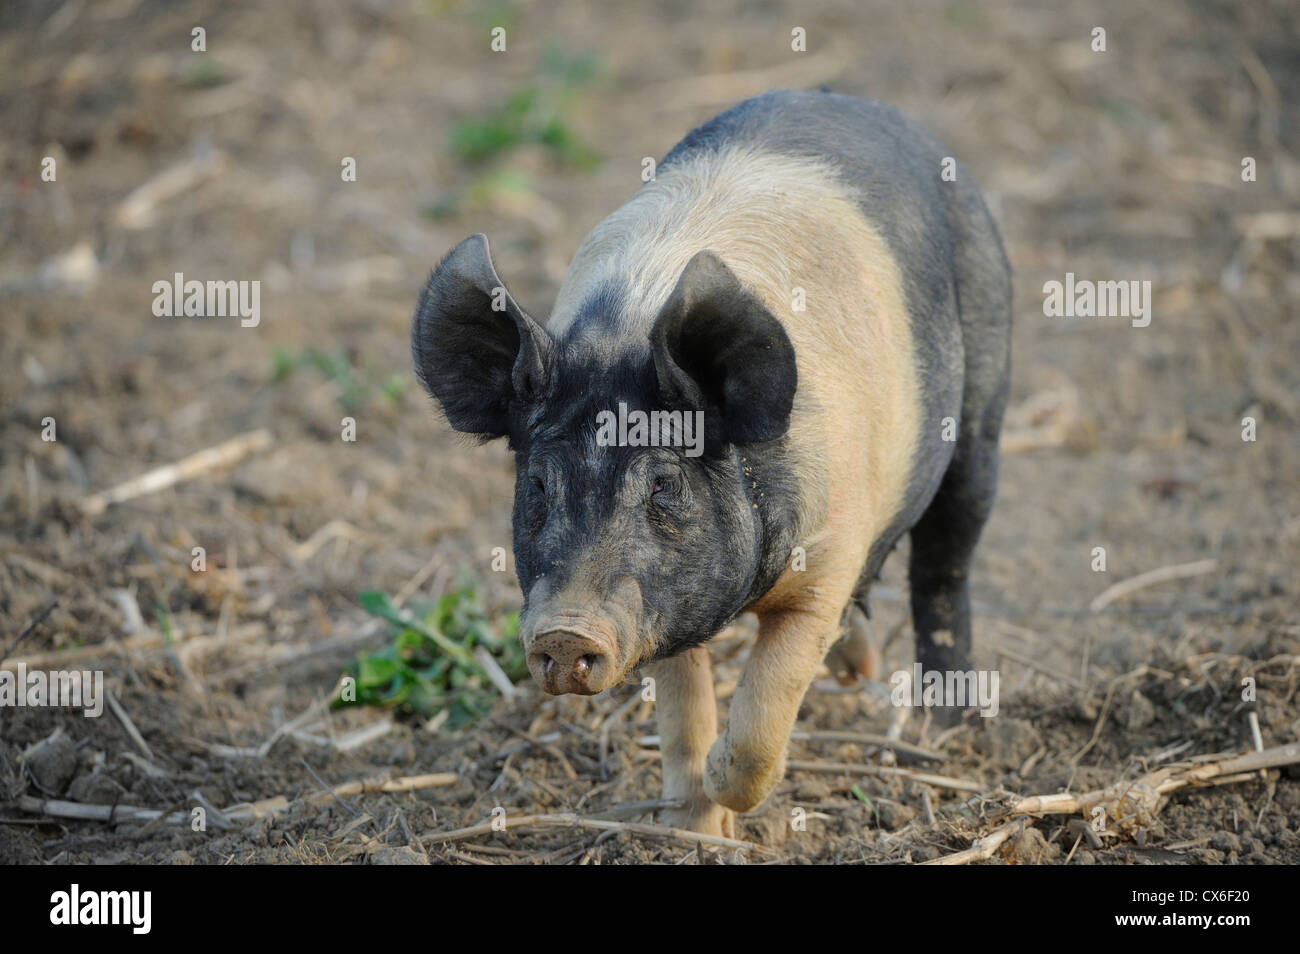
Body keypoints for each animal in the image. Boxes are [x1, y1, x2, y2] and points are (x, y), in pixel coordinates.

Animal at [412, 89, 1011, 836]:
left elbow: (772, 689)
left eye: (664, 483)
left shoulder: (829, 553)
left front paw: (729, 784)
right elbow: (682, 710)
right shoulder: (659, 605)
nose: (563, 633)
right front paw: (694, 830)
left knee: (945, 564)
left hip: (983, 401)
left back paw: (940, 729)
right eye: (539, 483)